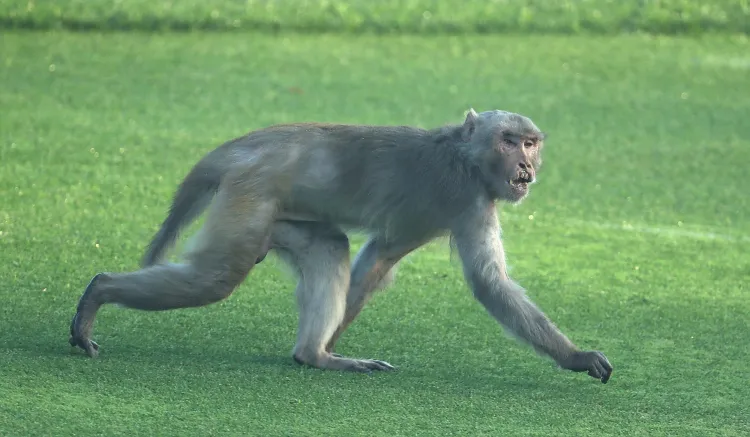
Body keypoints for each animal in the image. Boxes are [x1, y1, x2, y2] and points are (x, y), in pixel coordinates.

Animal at [69, 109, 613, 383]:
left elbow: (376, 261)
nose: (526, 166)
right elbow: (488, 284)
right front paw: (576, 357)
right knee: (215, 277)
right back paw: (99, 290)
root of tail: (242, 147)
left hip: (276, 215)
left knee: (328, 245)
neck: (466, 154)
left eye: (530, 143)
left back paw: (314, 354)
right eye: (509, 140)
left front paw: (330, 342)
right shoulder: (468, 200)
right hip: (249, 195)